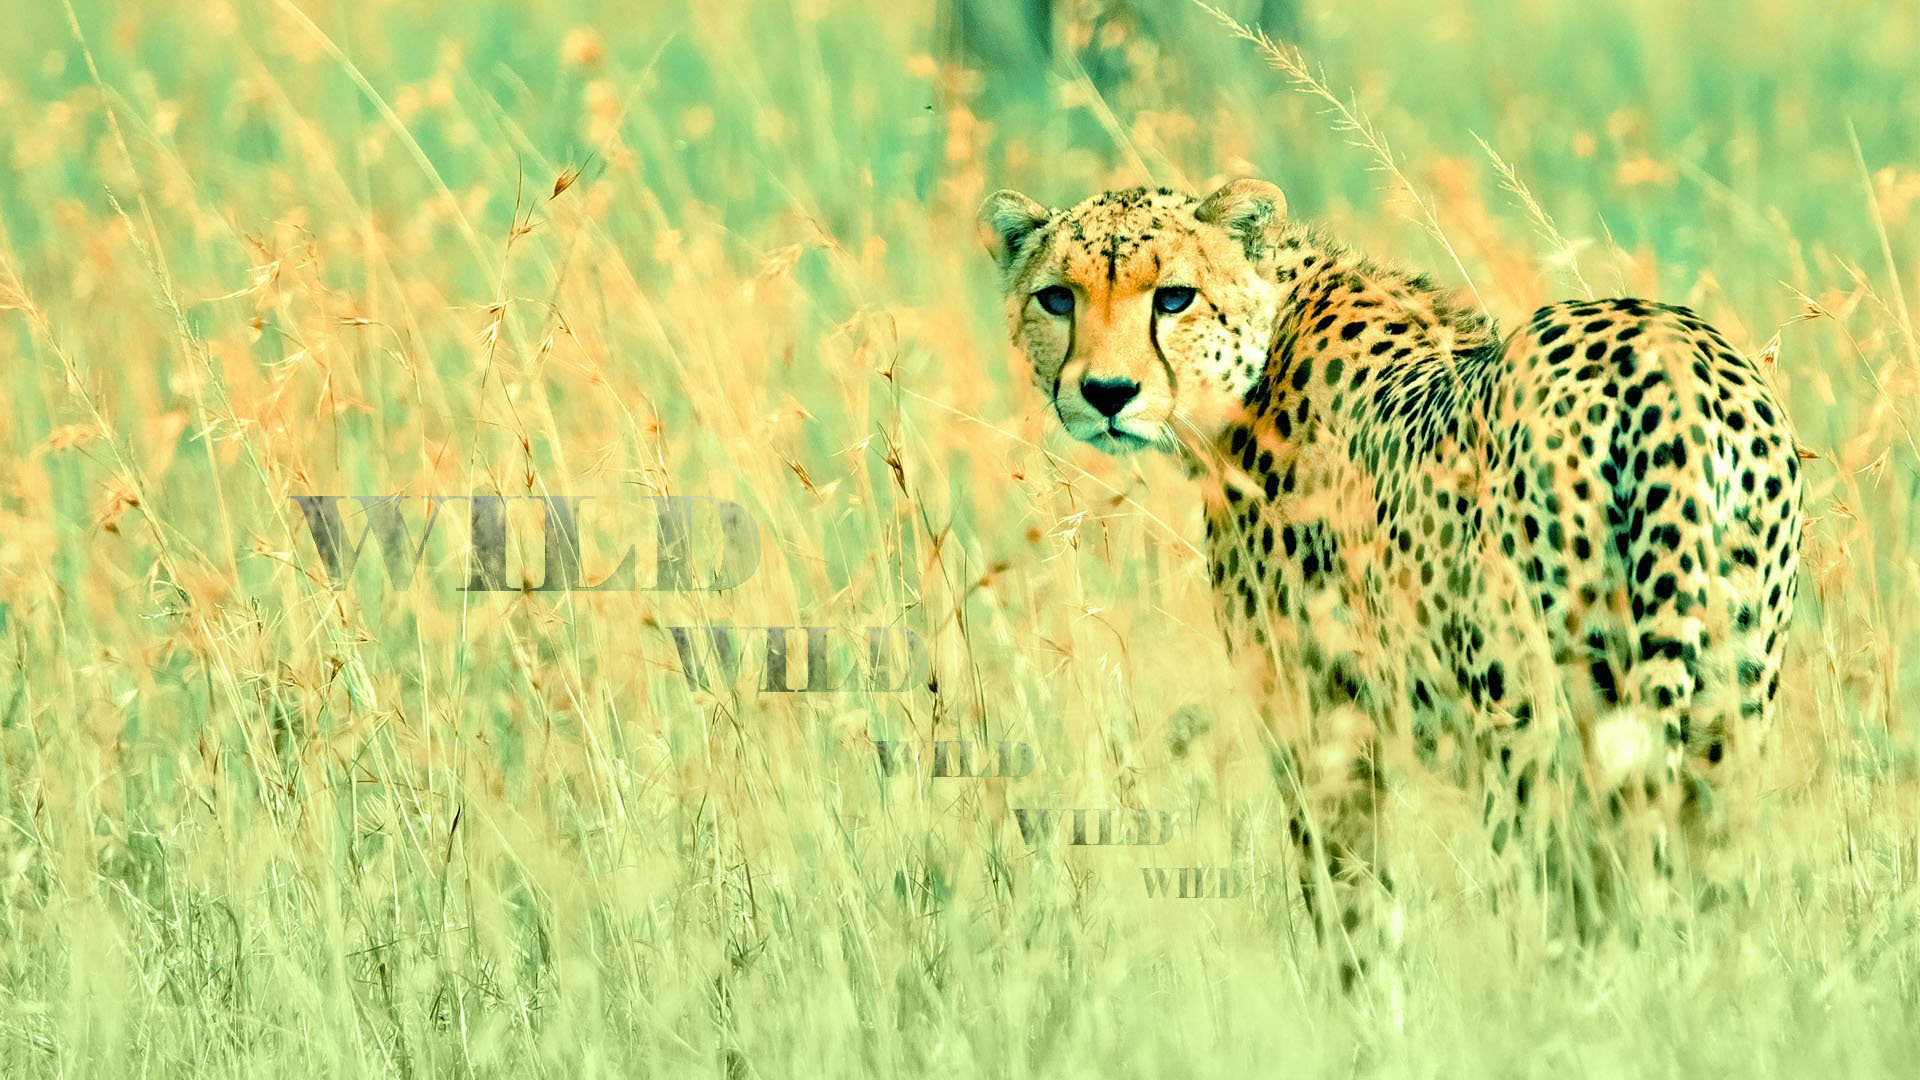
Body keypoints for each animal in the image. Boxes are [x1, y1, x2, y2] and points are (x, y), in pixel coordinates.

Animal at [975, 178, 1804, 979]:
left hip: (1529, 719)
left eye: (1175, 296)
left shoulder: (1319, 722)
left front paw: (1361, 1007)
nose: (1107, 393)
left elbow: (1348, 906)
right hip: (1730, 707)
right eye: (1057, 297)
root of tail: (1666, 356)